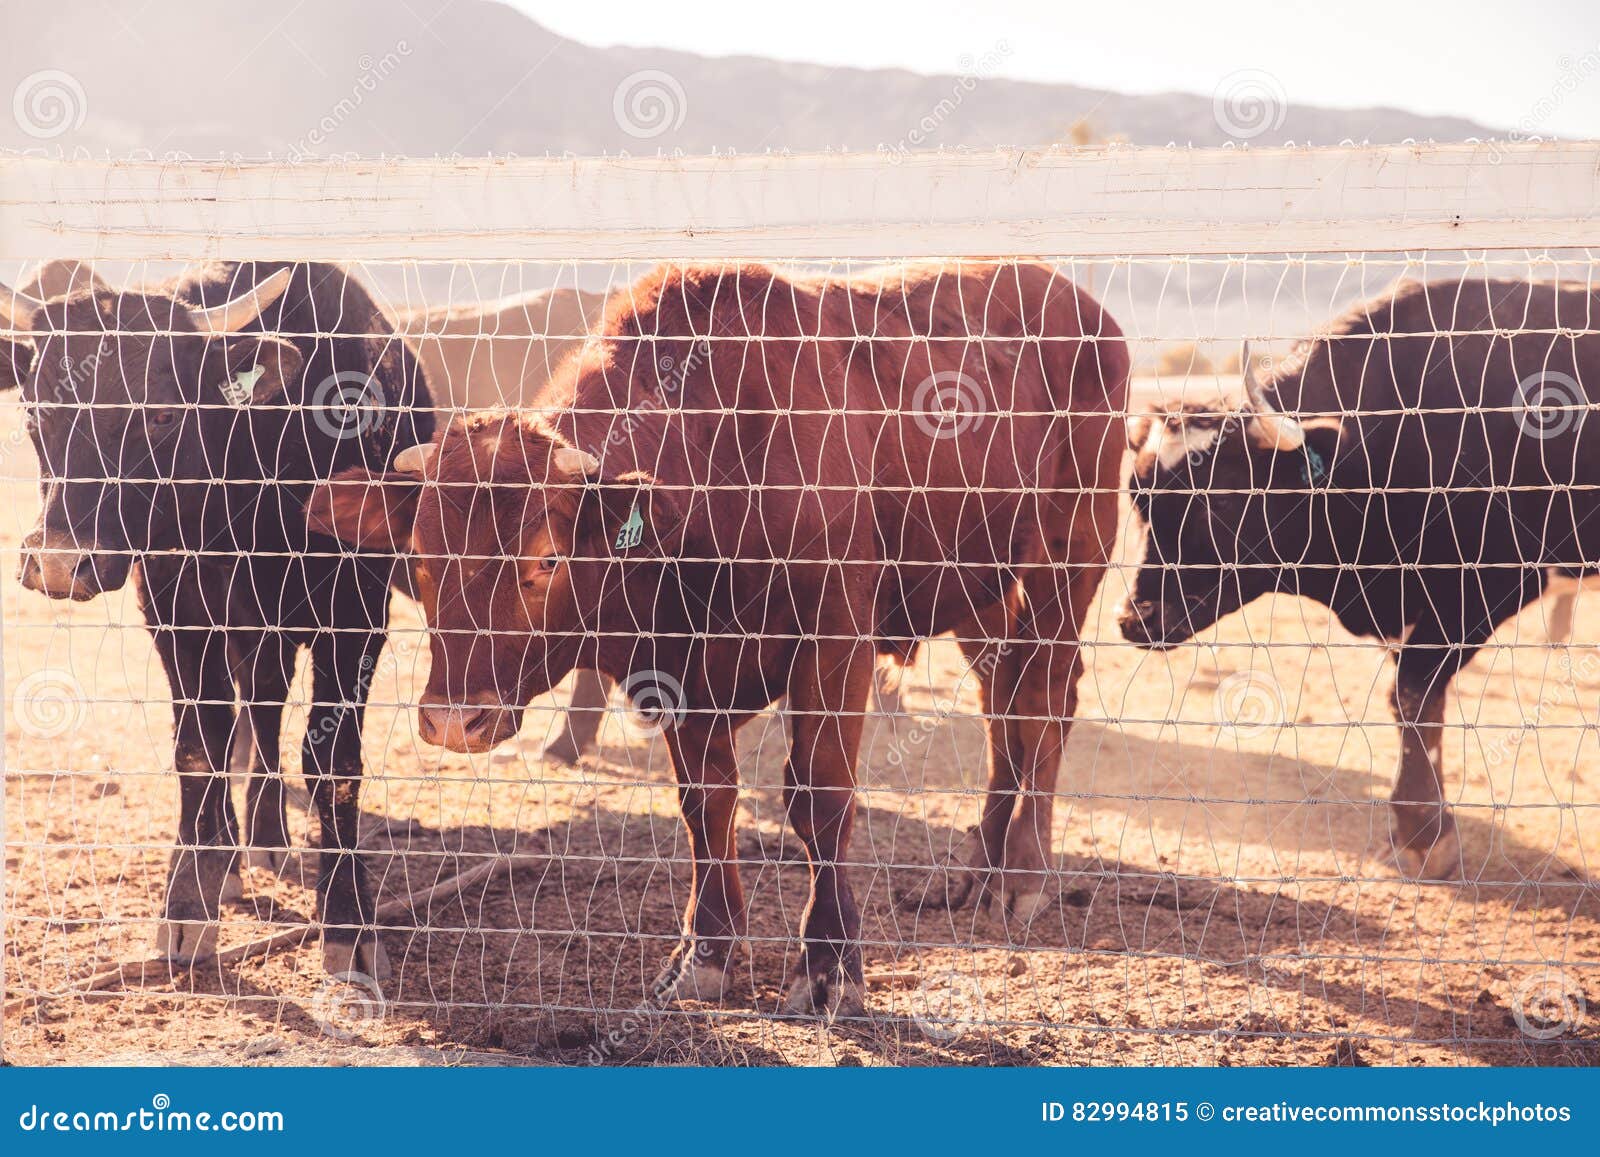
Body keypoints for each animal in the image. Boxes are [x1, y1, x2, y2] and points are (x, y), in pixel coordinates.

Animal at [0, 261, 433, 978]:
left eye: (159, 414)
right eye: (36, 413)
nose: (59, 562)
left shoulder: (359, 612)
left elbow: (333, 760)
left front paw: (348, 920)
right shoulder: (174, 606)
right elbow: (198, 746)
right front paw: (187, 904)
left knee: (265, 706)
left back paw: (263, 837)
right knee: (248, 709)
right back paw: (224, 854)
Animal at [305, 260, 1129, 1014]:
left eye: (545, 558)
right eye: (418, 557)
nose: (454, 719)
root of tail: (1084, 308)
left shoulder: (835, 638)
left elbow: (820, 797)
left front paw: (829, 967)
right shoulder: (677, 670)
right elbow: (707, 801)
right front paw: (702, 954)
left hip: (1067, 560)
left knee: (1043, 706)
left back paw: (1023, 877)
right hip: (979, 593)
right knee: (1002, 709)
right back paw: (973, 874)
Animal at [1117, 277, 1600, 881]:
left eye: (1223, 500)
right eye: (1138, 498)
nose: (1134, 618)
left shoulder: (1477, 592)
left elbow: (1412, 695)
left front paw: (1424, 832)